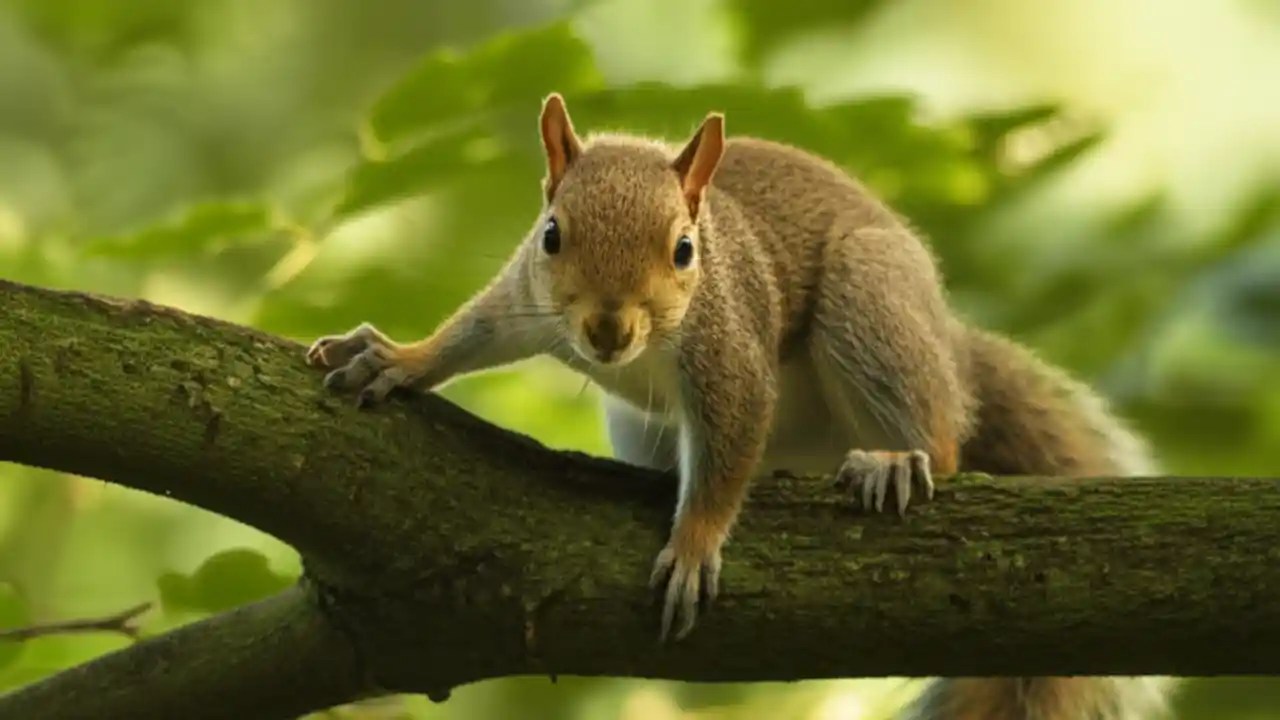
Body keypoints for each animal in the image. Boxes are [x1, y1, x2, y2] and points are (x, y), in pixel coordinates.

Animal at [305, 92, 1174, 720]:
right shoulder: (525, 300)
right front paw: (395, 359)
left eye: (686, 249)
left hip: (872, 305)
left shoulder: (731, 352)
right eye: (551, 235)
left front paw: (693, 547)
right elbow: (469, 334)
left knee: (945, 445)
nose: (608, 330)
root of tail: (953, 354)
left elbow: (727, 456)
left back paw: (897, 460)